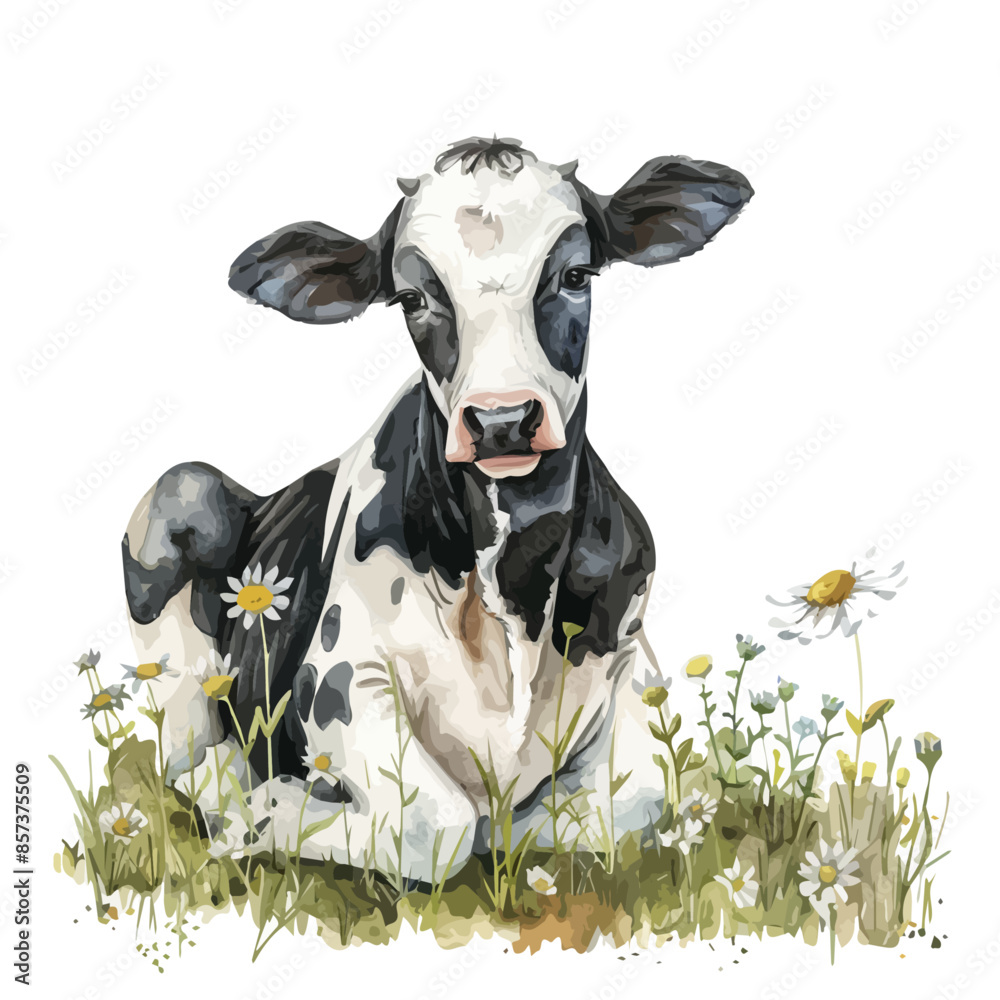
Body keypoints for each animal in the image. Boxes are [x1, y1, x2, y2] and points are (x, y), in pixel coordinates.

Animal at [122, 137, 752, 881]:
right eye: (412, 297)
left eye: (575, 275)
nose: (502, 420)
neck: (513, 586)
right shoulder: (338, 679)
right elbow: (439, 823)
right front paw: (270, 806)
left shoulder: (629, 663)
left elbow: (628, 804)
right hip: (178, 497)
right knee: (179, 753)